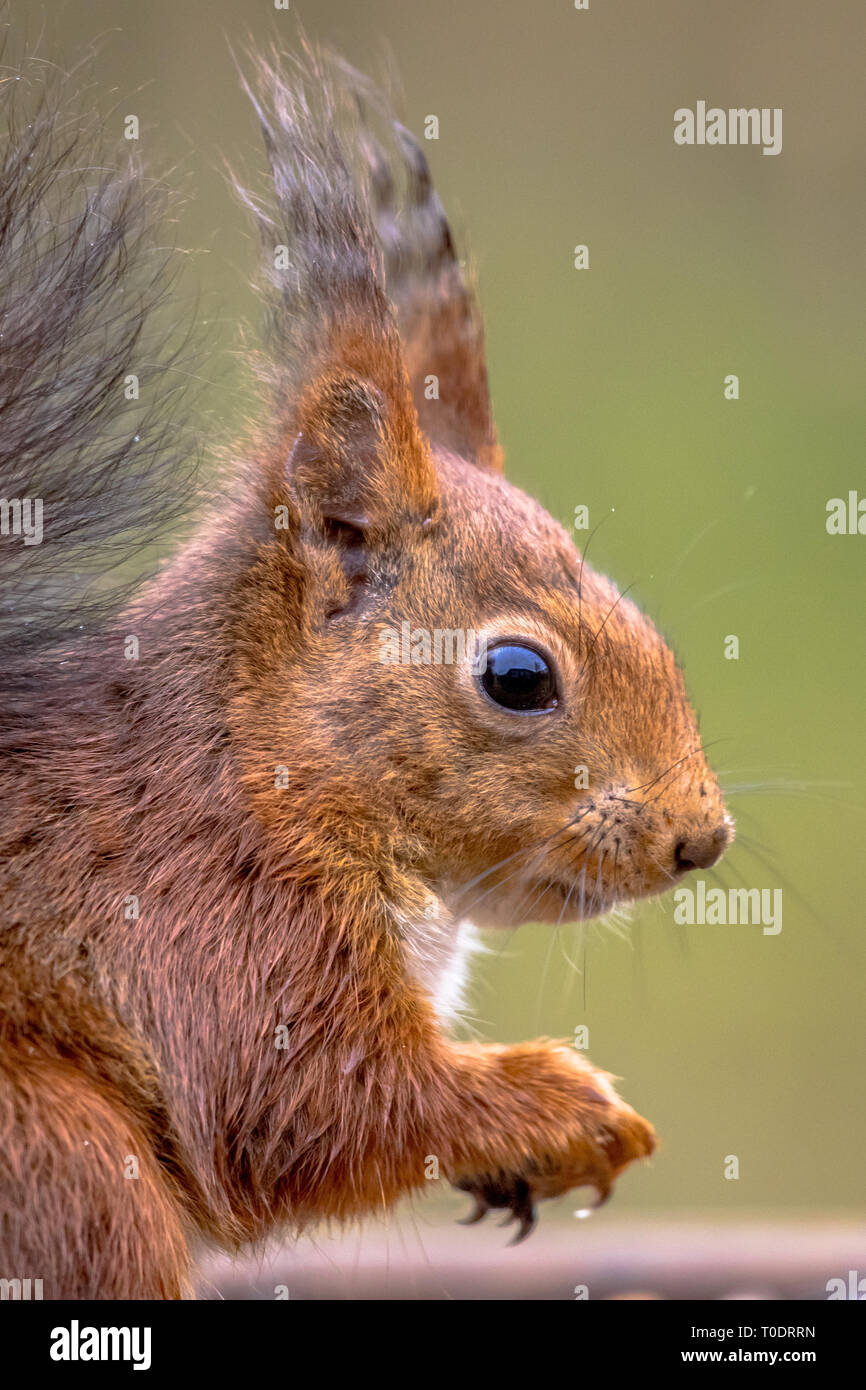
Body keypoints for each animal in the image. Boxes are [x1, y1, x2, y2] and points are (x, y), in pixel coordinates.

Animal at [0, 41, 733, 1299]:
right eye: (516, 677)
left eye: (653, 635)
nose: (701, 838)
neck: (260, 763)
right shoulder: (212, 920)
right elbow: (307, 1109)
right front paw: (567, 1106)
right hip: (65, 1158)